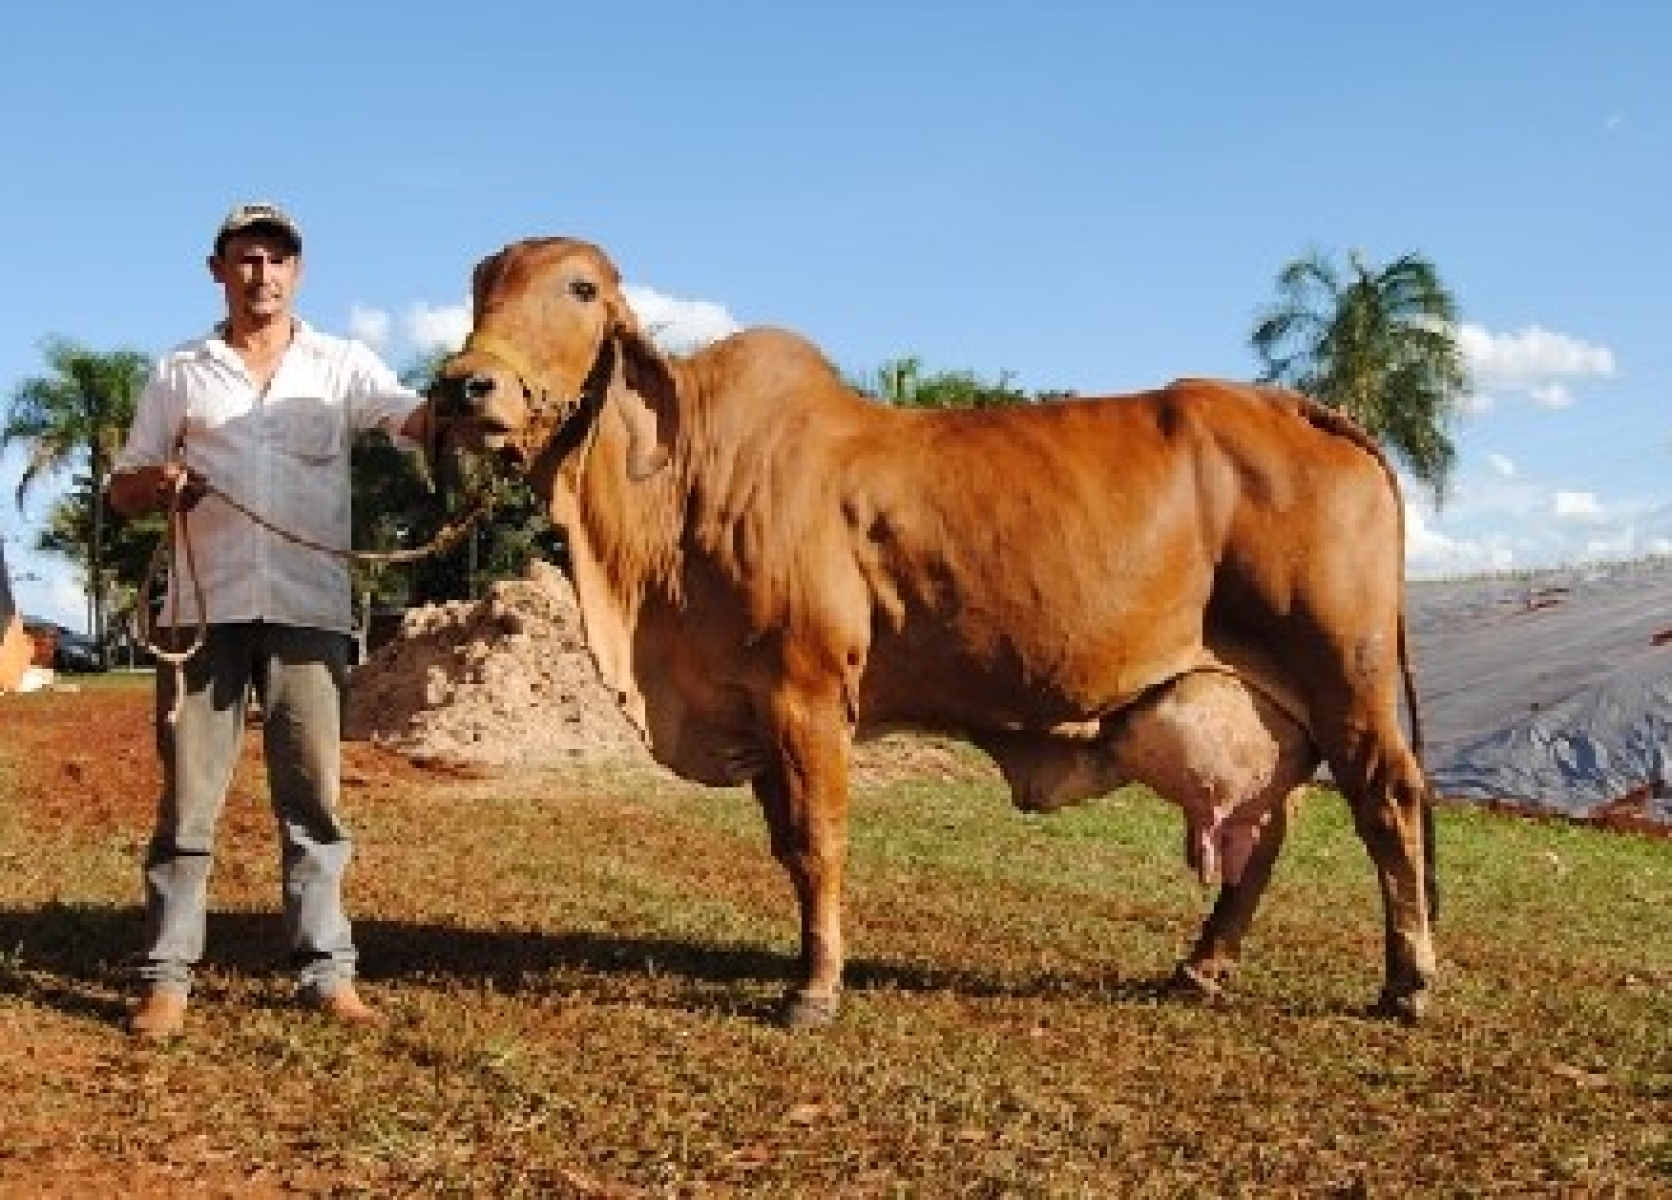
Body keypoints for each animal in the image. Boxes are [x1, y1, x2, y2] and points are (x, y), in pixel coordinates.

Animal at [424, 236, 1437, 1028]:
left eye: (581, 288)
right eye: (479, 283)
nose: (466, 386)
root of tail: (1305, 408)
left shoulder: (806, 692)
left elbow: (818, 840)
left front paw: (814, 992)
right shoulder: (753, 706)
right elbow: (788, 845)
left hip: (1345, 672)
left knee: (1385, 800)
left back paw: (1408, 983)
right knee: (1268, 826)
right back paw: (1200, 970)